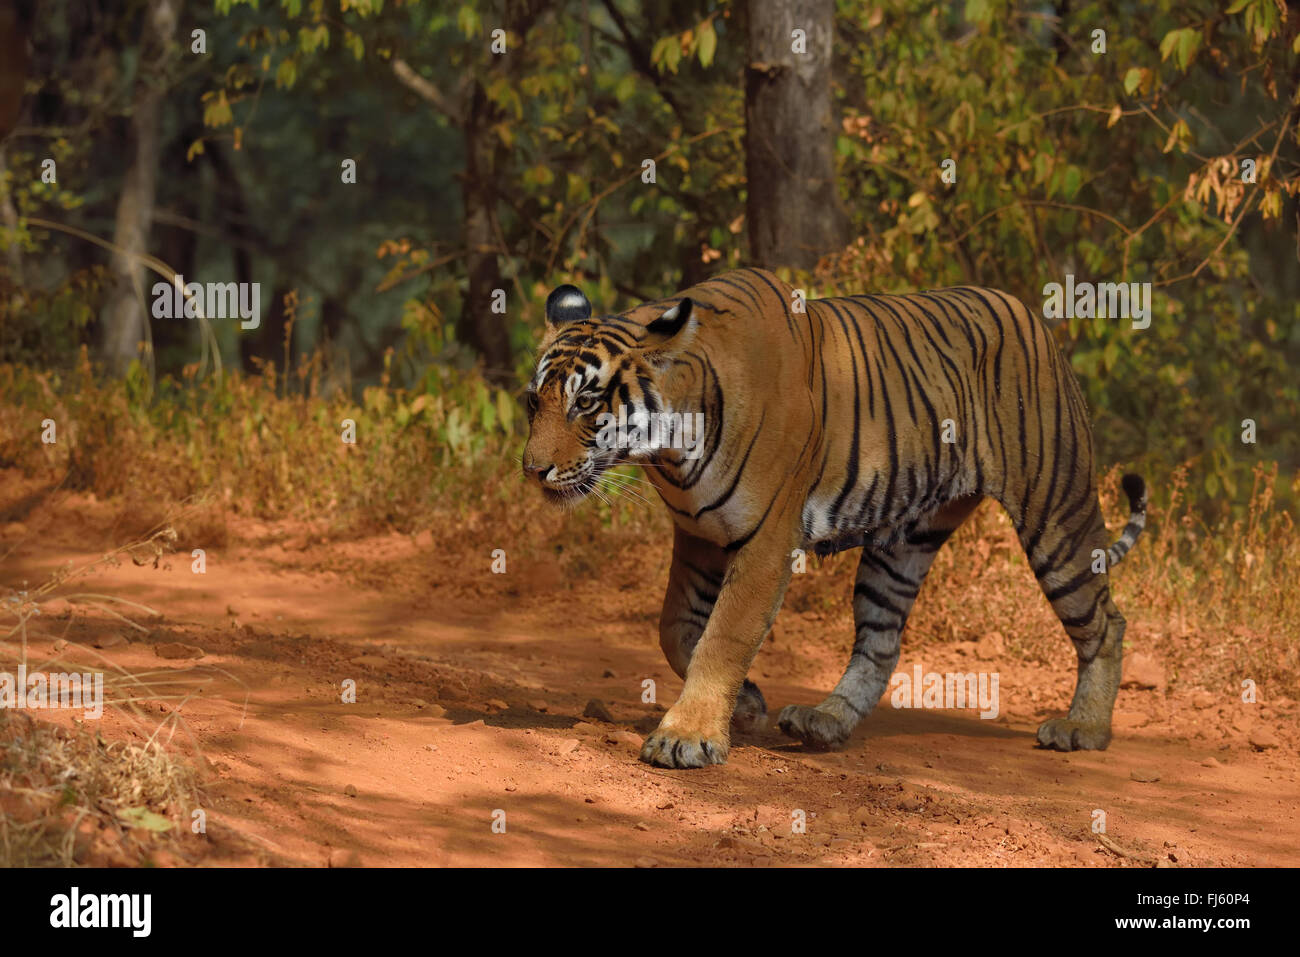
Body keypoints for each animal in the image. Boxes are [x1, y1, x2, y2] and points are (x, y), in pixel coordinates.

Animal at [522, 267, 1146, 769]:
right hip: (903, 545)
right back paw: (825, 721)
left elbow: (723, 635)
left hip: (1055, 512)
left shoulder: (766, 541)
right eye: (534, 401)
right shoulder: (698, 536)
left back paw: (1084, 728)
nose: (532, 469)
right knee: (881, 640)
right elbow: (677, 629)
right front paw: (745, 704)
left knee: (1105, 621)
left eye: (586, 402)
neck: (671, 450)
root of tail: (1028, 313)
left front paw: (687, 737)